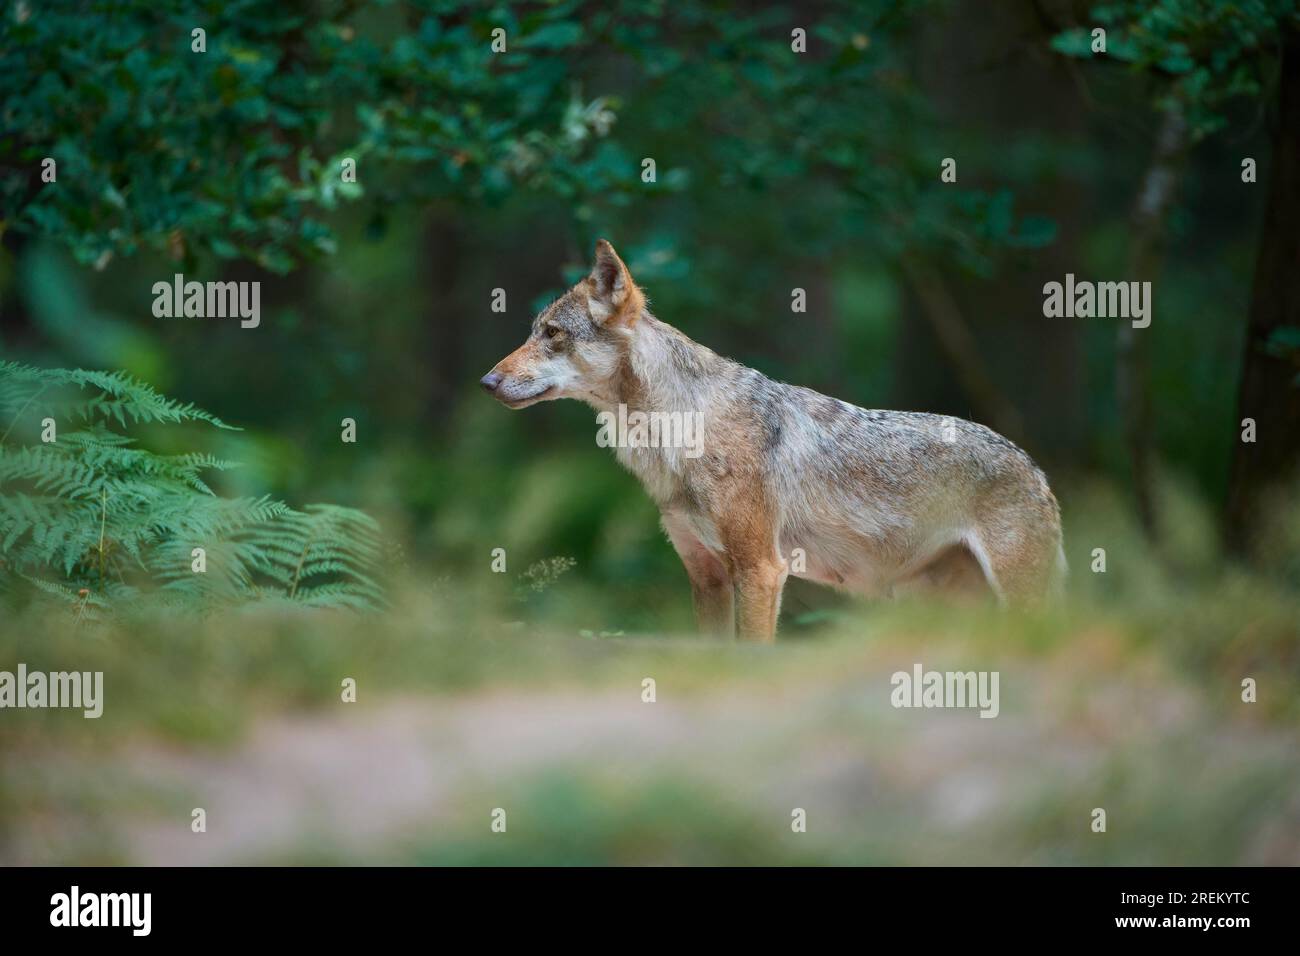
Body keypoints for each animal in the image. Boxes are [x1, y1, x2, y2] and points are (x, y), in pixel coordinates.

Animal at [482, 240, 1065, 642]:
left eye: (553, 335)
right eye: (534, 331)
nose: (487, 381)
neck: (678, 431)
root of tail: (1034, 466)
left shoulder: (761, 570)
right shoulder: (708, 578)